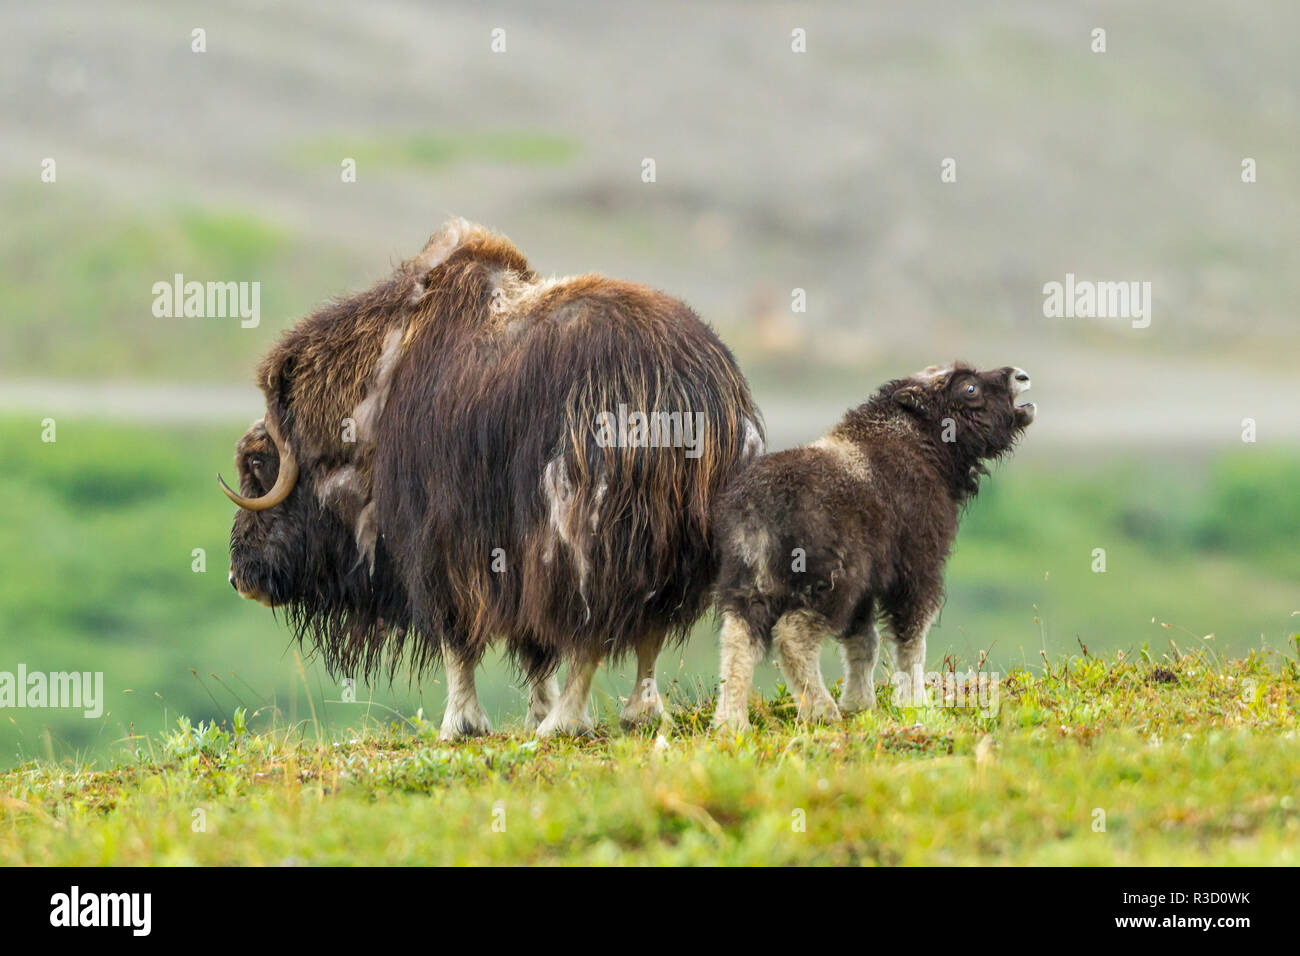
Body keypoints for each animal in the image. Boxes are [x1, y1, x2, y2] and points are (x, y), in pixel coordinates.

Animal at [222, 219, 763, 739]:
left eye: (255, 462)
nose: (236, 576)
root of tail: (690, 389)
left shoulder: (443, 548)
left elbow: (457, 639)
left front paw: (460, 724)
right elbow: (536, 647)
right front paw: (529, 711)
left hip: (586, 534)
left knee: (591, 629)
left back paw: (563, 724)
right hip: (674, 547)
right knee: (647, 627)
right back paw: (638, 715)